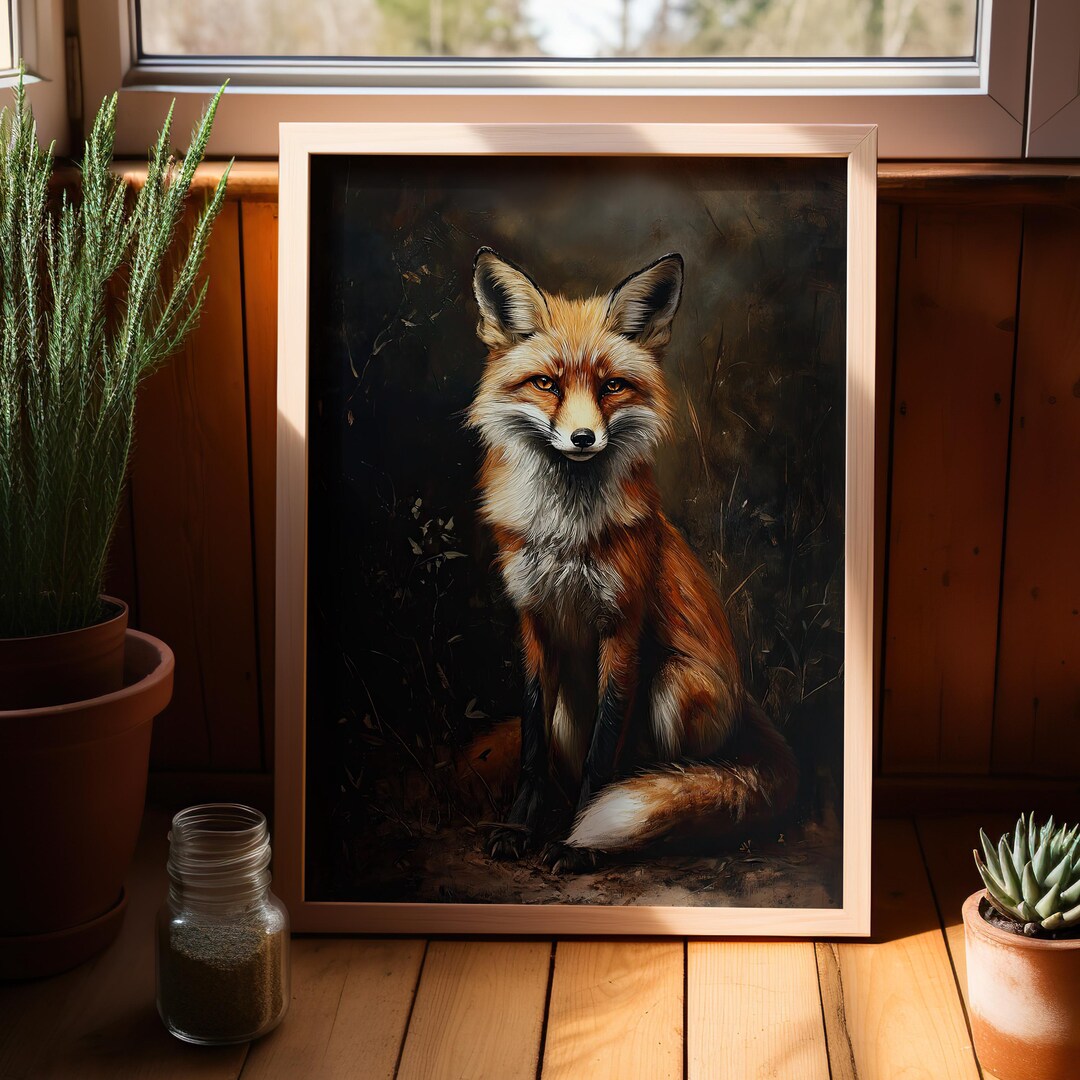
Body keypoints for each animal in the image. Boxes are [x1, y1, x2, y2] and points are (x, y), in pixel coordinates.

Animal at [466, 247, 798, 873]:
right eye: (546, 383)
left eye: (613, 386)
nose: (582, 437)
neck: (565, 534)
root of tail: (750, 708)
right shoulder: (533, 622)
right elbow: (531, 746)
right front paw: (522, 827)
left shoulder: (622, 624)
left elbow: (604, 755)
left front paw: (577, 843)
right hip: (573, 705)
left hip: (678, 685)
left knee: (673, 769)